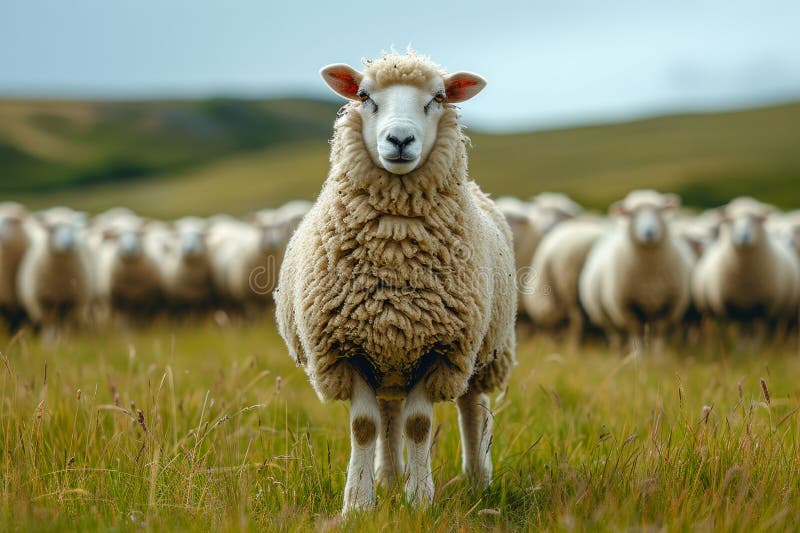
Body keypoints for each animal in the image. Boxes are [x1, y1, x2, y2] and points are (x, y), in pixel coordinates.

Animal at [274, 50, 516, 513]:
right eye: (365, 96)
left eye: (438, 97)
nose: (400, 139)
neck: (395, 247)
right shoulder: (345, 351)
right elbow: (366, 427)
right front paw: (358, 504)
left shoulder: (442, 350)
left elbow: (419, 424)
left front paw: (420, 501)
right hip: (387, 361)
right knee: (388, 414)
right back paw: (387, 478)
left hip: (482, 353)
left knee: (471, 407)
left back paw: (478, 480)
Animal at [579, 190, 694, 351]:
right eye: (632, 213)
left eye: (659, 210)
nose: (649, 233)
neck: (648, 275)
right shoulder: (628, 308)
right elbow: (637, 337)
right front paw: (638, 357)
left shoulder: (667, 308)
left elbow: (659, 337)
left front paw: (659, 357)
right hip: (607, 317)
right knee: (617, 337)